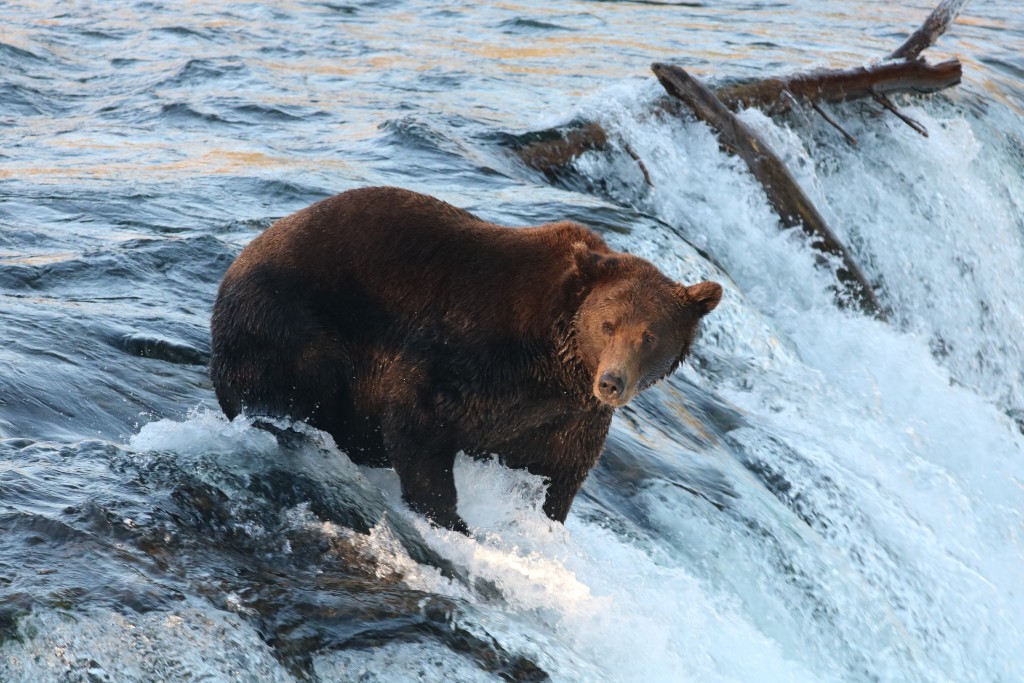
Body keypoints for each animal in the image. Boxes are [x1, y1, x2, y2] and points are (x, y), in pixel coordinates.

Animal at [210, 187, 722, 532]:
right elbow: (418, 413)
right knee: (290, 387)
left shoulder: (563, 416)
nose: (612, 383)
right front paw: (450, 518)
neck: (556, 362)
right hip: (290, 323)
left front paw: (542, 522)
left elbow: (558, 473)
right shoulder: (477, 346)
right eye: (608, 325)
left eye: (649, 336)